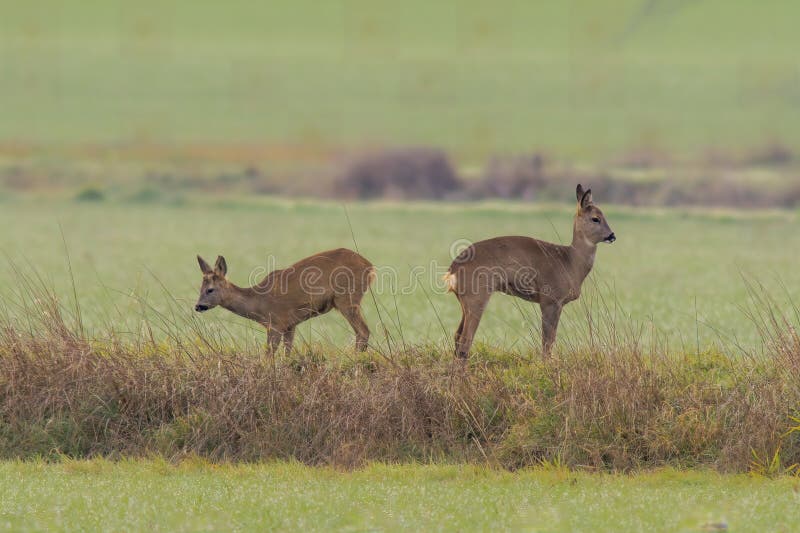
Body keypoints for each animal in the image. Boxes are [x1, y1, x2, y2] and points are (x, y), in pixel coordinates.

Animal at [194, 248, 375, 355]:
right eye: (199, 288)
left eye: (210, 290)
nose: (198, 306)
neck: (259, 303)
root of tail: (370, 267)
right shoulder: (290, 325)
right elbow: (287, 353)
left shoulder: (276, 323)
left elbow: (269, 353)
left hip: (347, 299)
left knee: (363, 331)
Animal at [443, 184, 615, 359]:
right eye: (595, 218)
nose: (612, 236)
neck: (570, 262)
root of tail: (452, 269)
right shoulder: (550, 299)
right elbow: (547, 341)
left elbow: (549, 340)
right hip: (477, 296)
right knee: (465, 341)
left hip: (464, 300)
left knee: (457, 336)